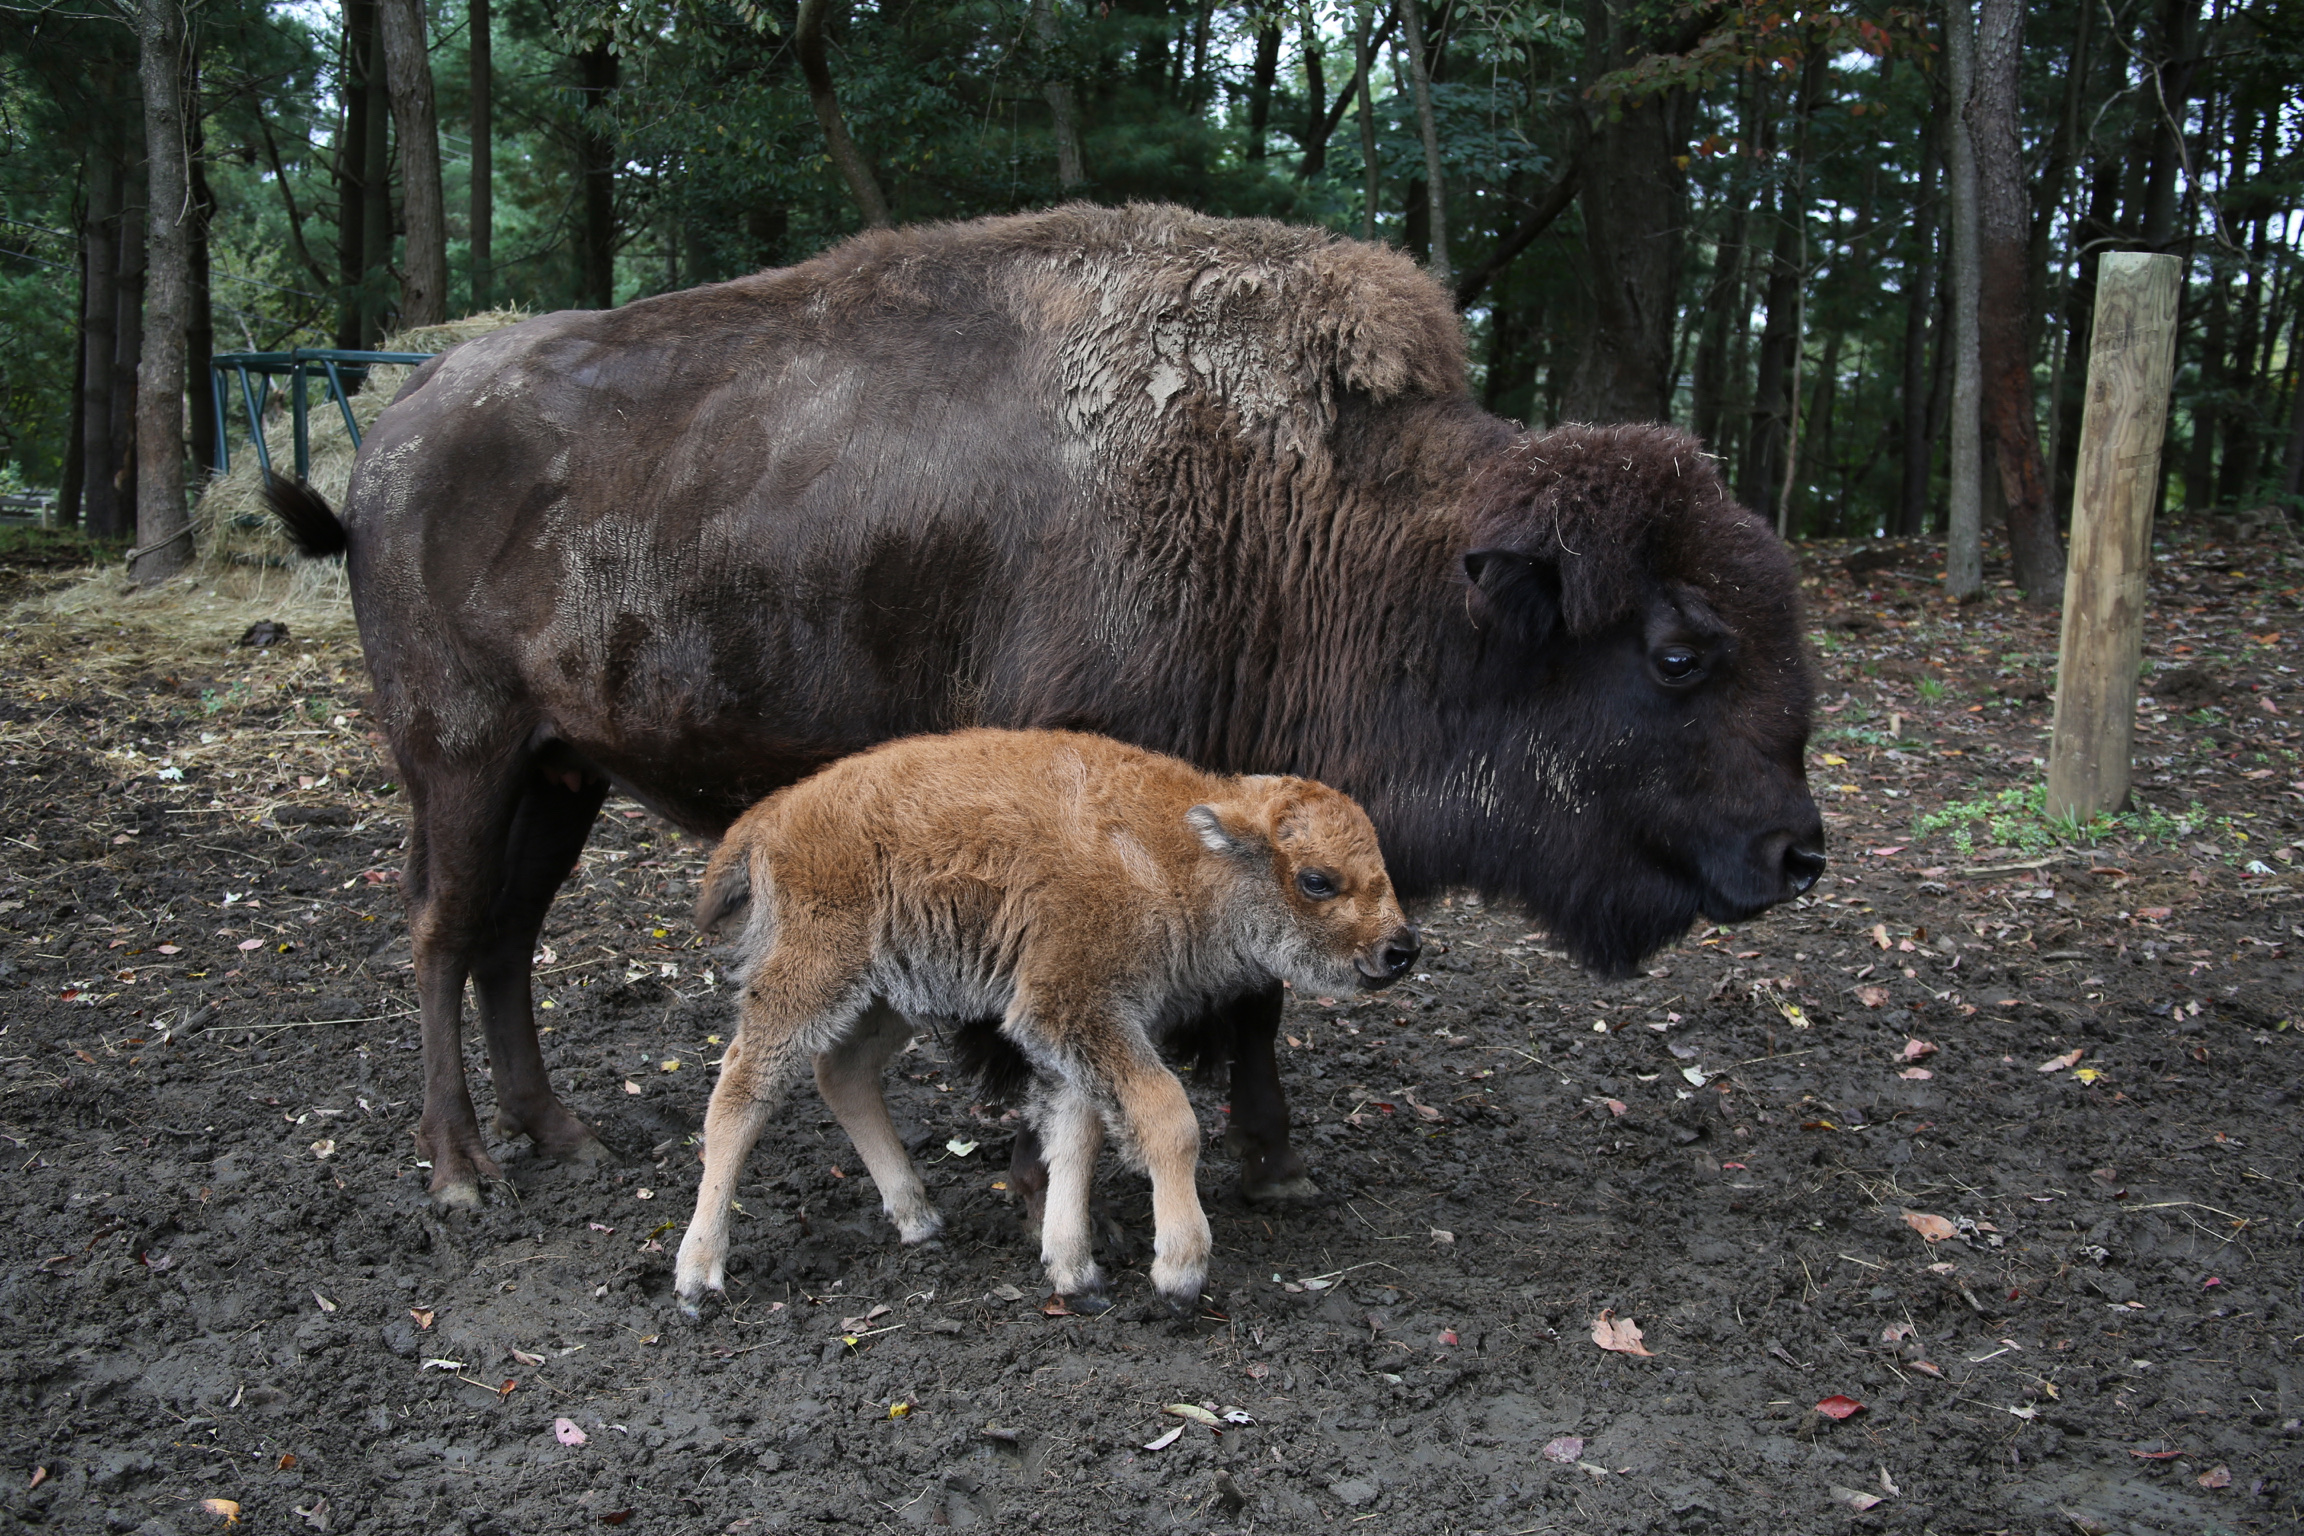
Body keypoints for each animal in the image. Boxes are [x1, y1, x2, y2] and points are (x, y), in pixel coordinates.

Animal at [269, 202, 1824, 1212]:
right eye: (1679, 654)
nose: (1798, 852)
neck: (1310, 524)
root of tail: (396, 437)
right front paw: (1039, 1146)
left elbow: (1259, 992)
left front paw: (1279, 1167)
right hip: (459, 758)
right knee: (441, 934)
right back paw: (464, 1177)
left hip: (561, 771)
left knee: (506, 937)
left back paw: (567, 1139)